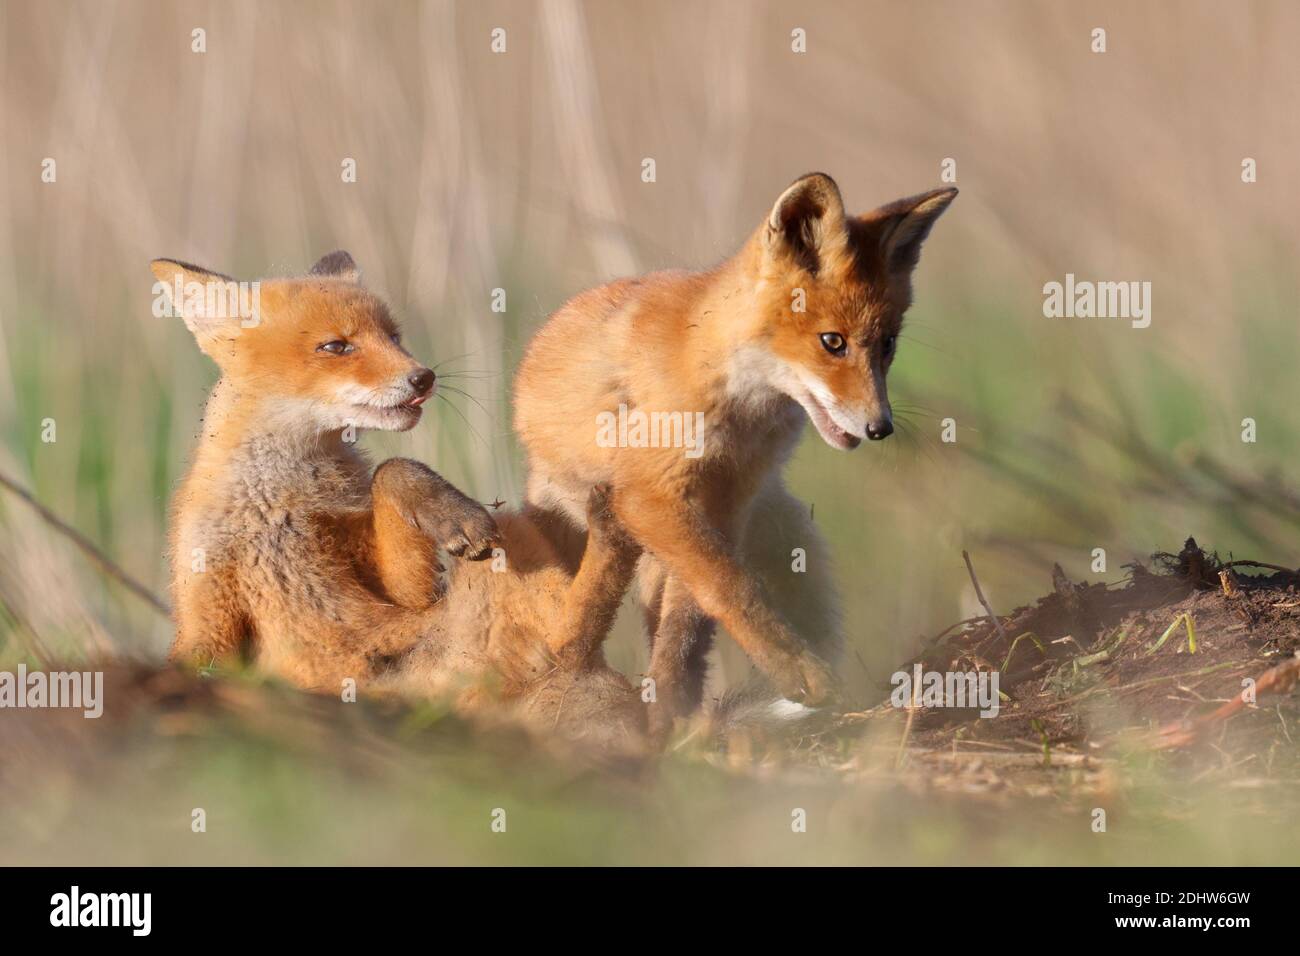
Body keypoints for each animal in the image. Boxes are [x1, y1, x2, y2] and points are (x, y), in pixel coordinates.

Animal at [157, 252, 647, 753]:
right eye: (336, 346)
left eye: (393, 337)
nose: (424, 377)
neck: (278, 501)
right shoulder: (207, 609)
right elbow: (190, 662)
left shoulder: (400, 589)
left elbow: (391, 470)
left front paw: (448, 510)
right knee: (570, 640)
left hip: (507, 554)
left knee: (571, 635)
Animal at [514, 172, 957, 732]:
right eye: (832, 342)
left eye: (887, 346)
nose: (881, 427)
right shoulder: (649, 496)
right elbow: (732, 587)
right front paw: (796, 670)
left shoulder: (726, 502)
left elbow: (686, 630)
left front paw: (672, 718)